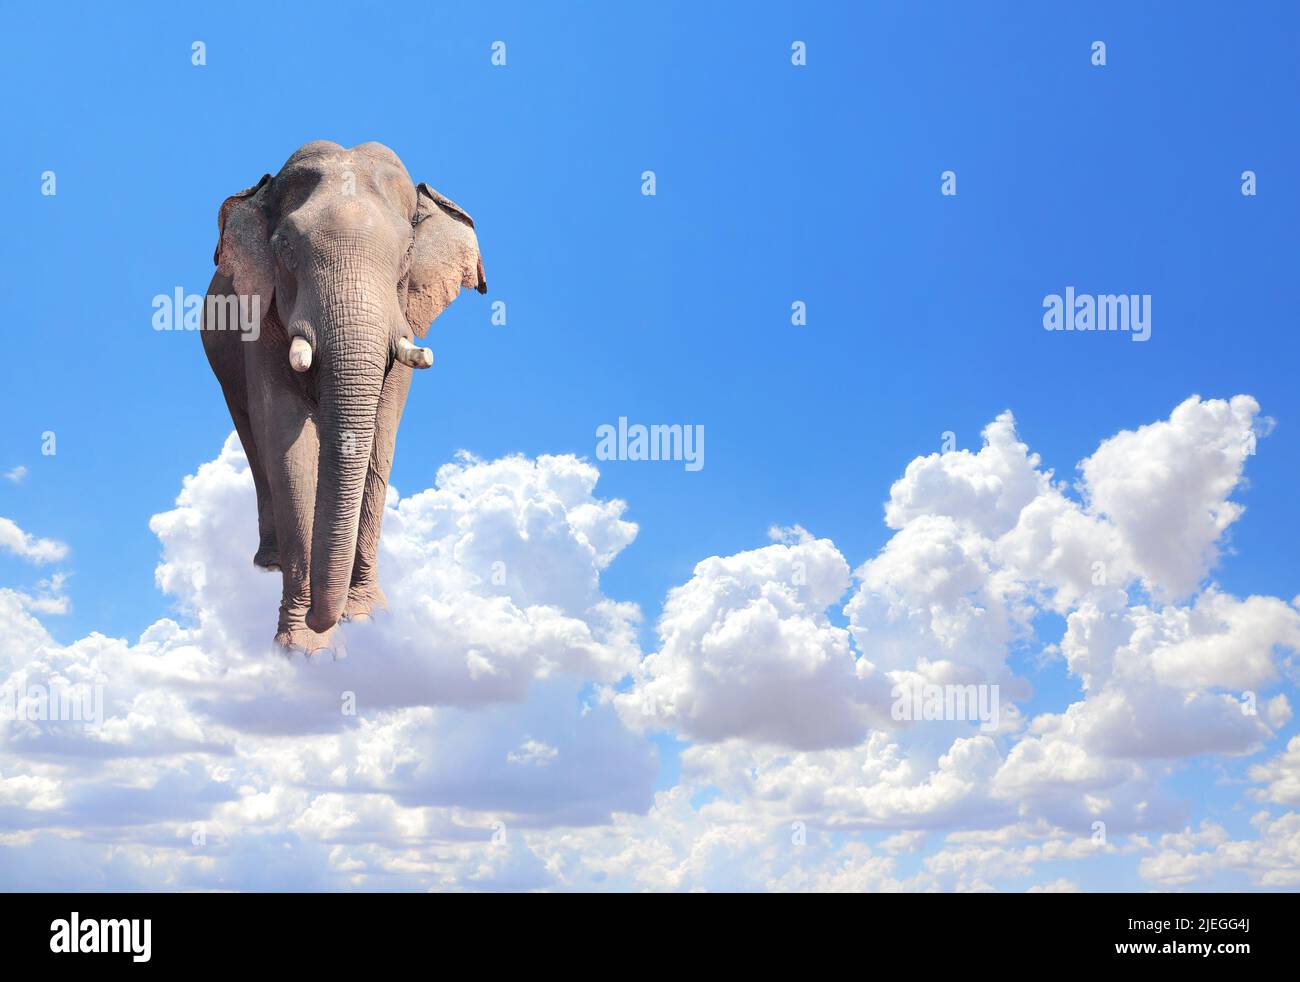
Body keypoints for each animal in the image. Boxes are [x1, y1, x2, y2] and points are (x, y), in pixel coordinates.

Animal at [201, 141, 486, 653]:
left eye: (408, 253)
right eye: (284, 247)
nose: (322, 617)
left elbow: (381, 435)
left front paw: (369, 619)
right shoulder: (261, 318)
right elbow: (287, 442)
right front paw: (304, 650)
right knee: (254, 440)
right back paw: (269, 564)